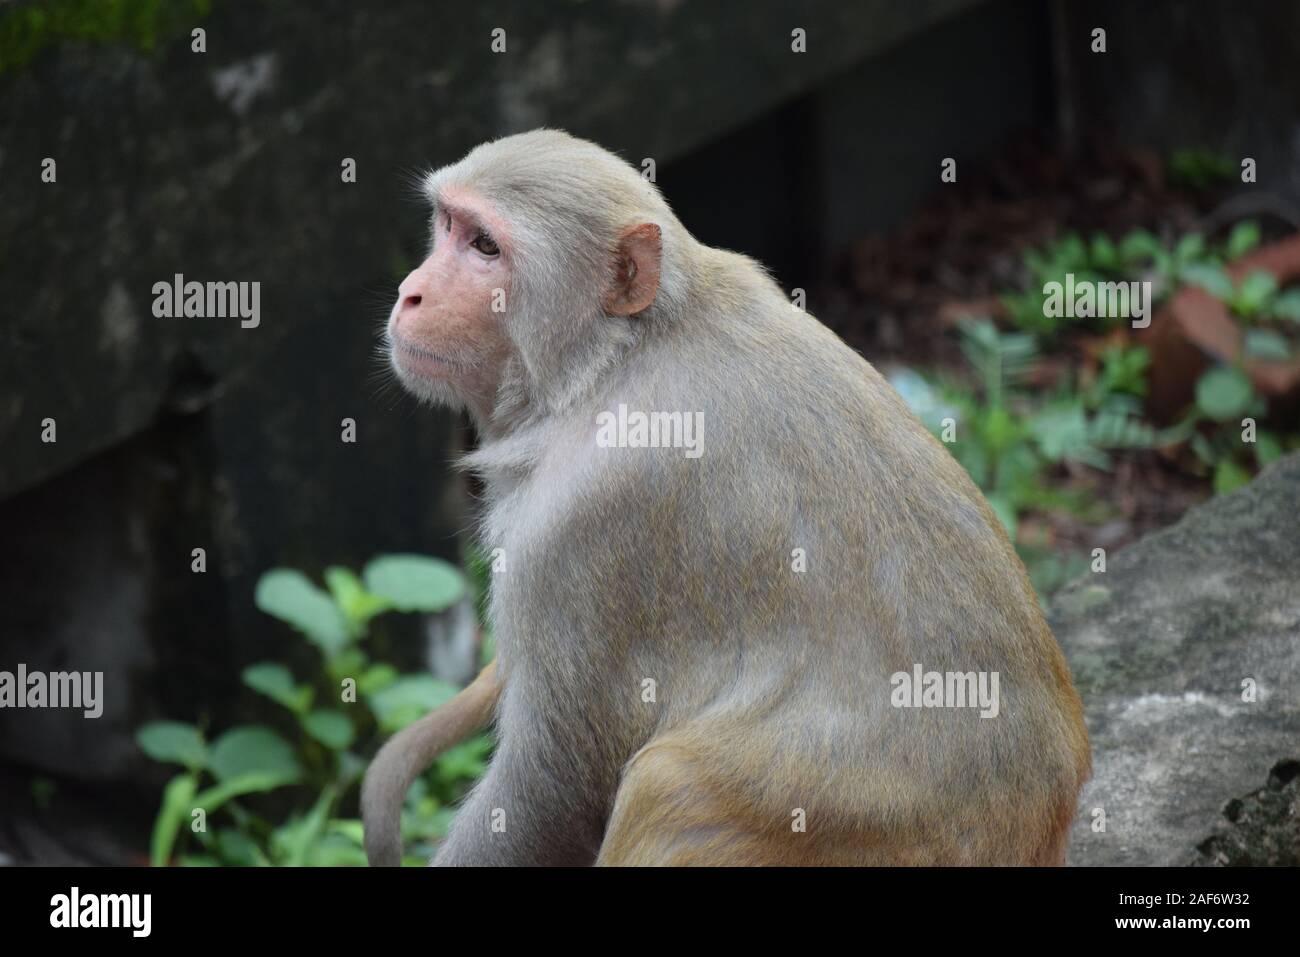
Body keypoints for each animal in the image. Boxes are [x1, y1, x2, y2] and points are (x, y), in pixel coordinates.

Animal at [362, 129, 1090, 866]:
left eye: (485, 246)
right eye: (446, 226)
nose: (410, 292)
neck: (608, 362)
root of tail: (1038, 827)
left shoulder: (582, 524)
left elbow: (549, 788)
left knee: (671, 782)